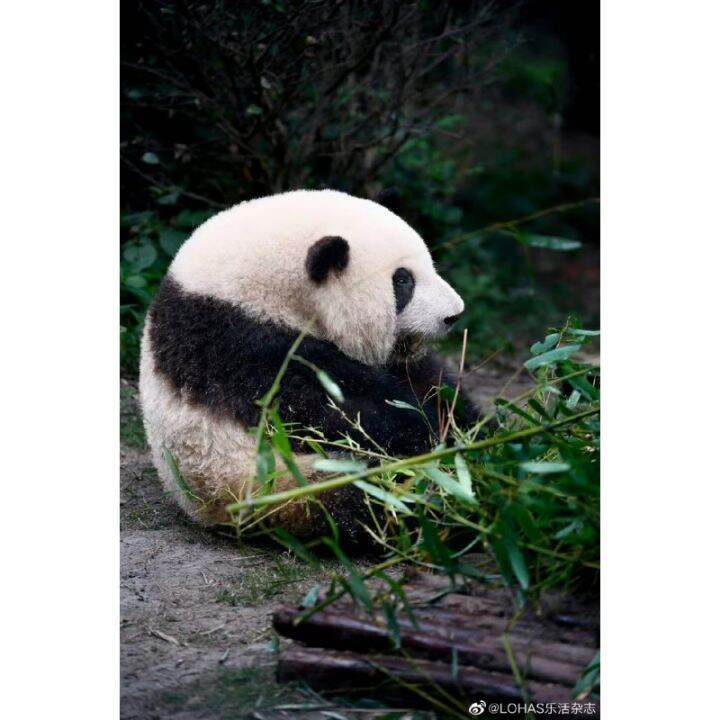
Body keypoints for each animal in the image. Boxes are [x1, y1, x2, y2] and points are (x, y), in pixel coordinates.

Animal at [139, 189, 473, 545]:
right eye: (403, 280)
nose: (453, 314)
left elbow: (428, 383)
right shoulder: (236, 349)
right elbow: (337, 411)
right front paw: (434, 436)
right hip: (277, 485)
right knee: (367, 500)